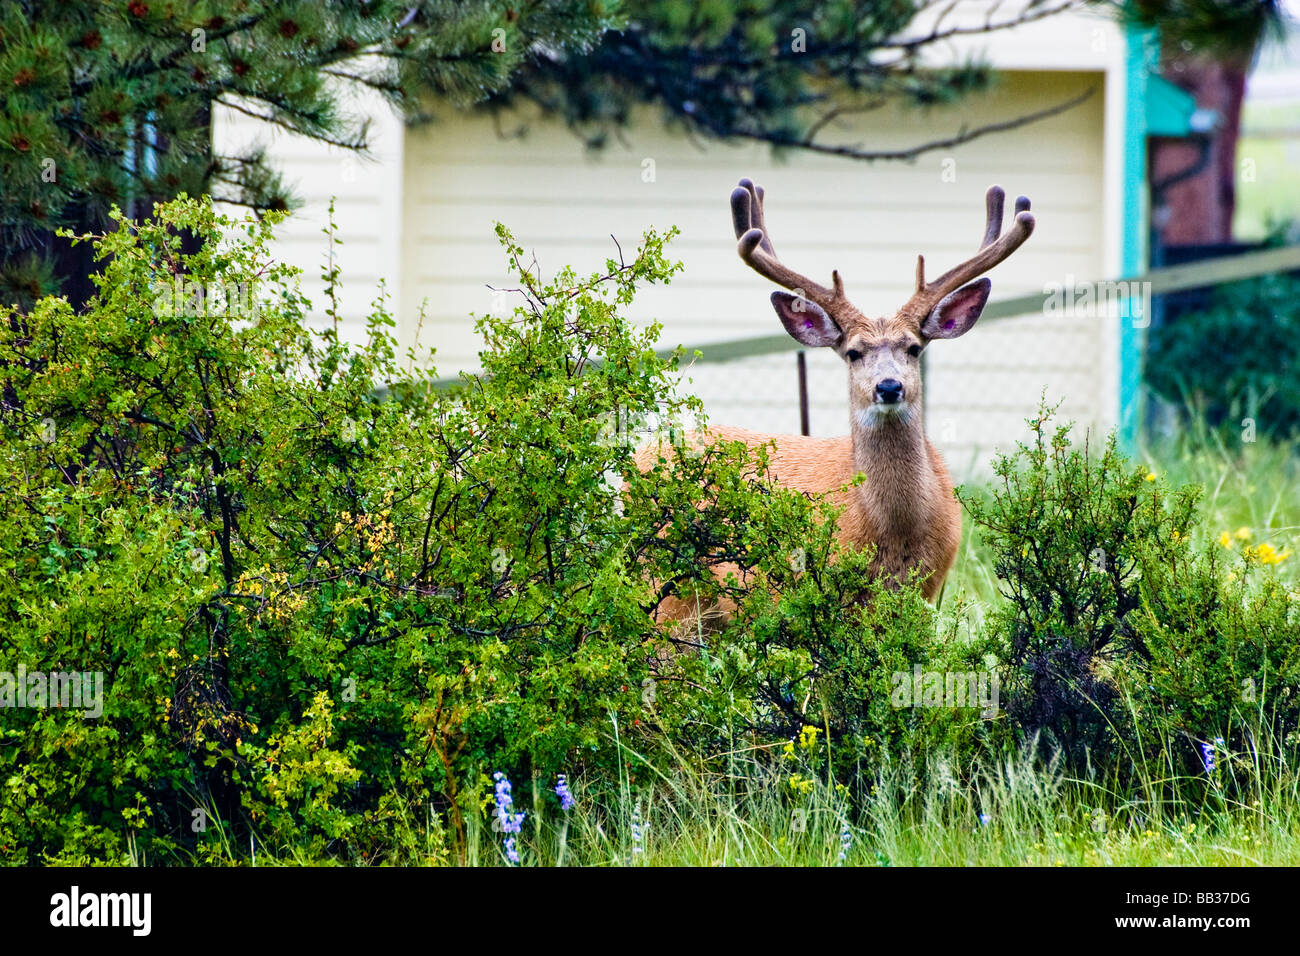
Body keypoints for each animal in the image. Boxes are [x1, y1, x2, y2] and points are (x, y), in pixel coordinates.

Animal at [637, 178, 1034, 621]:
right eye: (854, 352)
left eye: (913, 348)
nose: (889, 387)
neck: (896, 532)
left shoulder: (929, 590)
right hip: (664, 588)